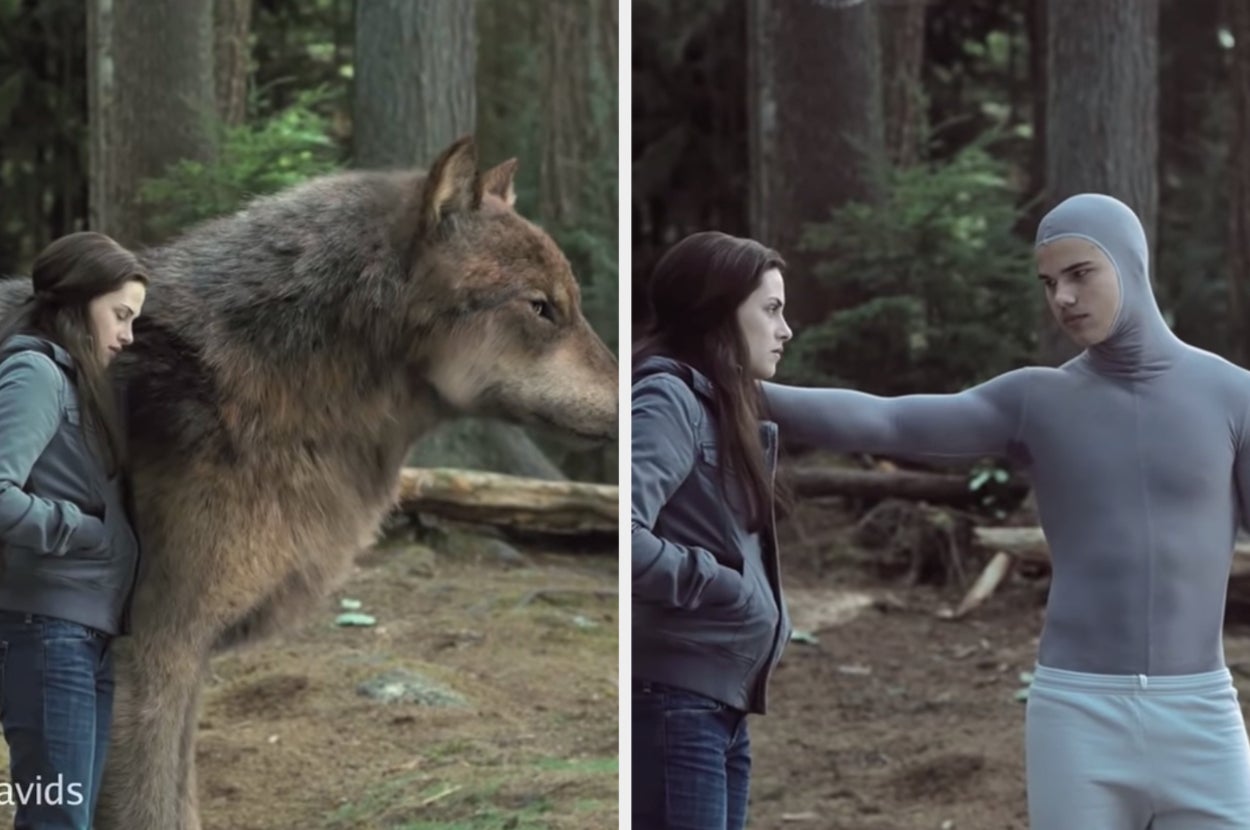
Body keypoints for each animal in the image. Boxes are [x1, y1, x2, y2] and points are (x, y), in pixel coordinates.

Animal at [0, 136, 617, 829]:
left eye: (572, 305)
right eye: (541, 307)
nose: (630, 401)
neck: (260, 387)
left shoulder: (185, 664)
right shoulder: (152, 655)